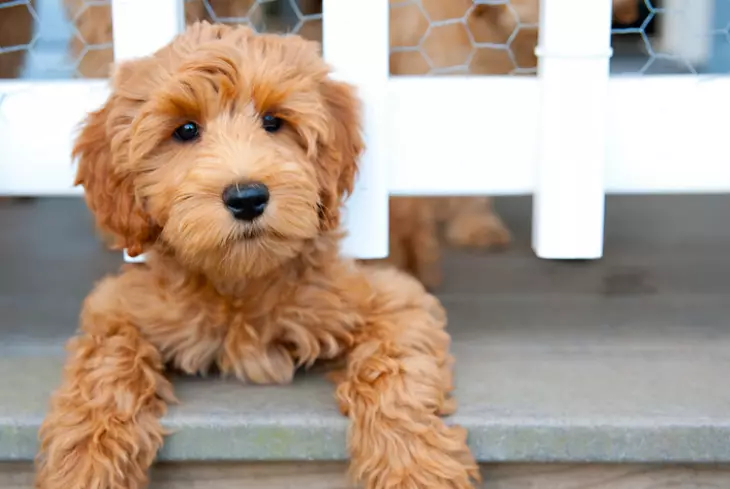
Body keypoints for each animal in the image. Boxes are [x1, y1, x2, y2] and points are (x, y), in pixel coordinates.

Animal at [35, 21, 478, 488]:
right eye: (186, 130)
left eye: (273, 122)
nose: (247, 198)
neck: (241, 282)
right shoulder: (118, 307)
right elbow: (103, 368)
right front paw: (84, 466)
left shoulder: (392, 300)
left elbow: (397, 371)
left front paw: (413, 467)